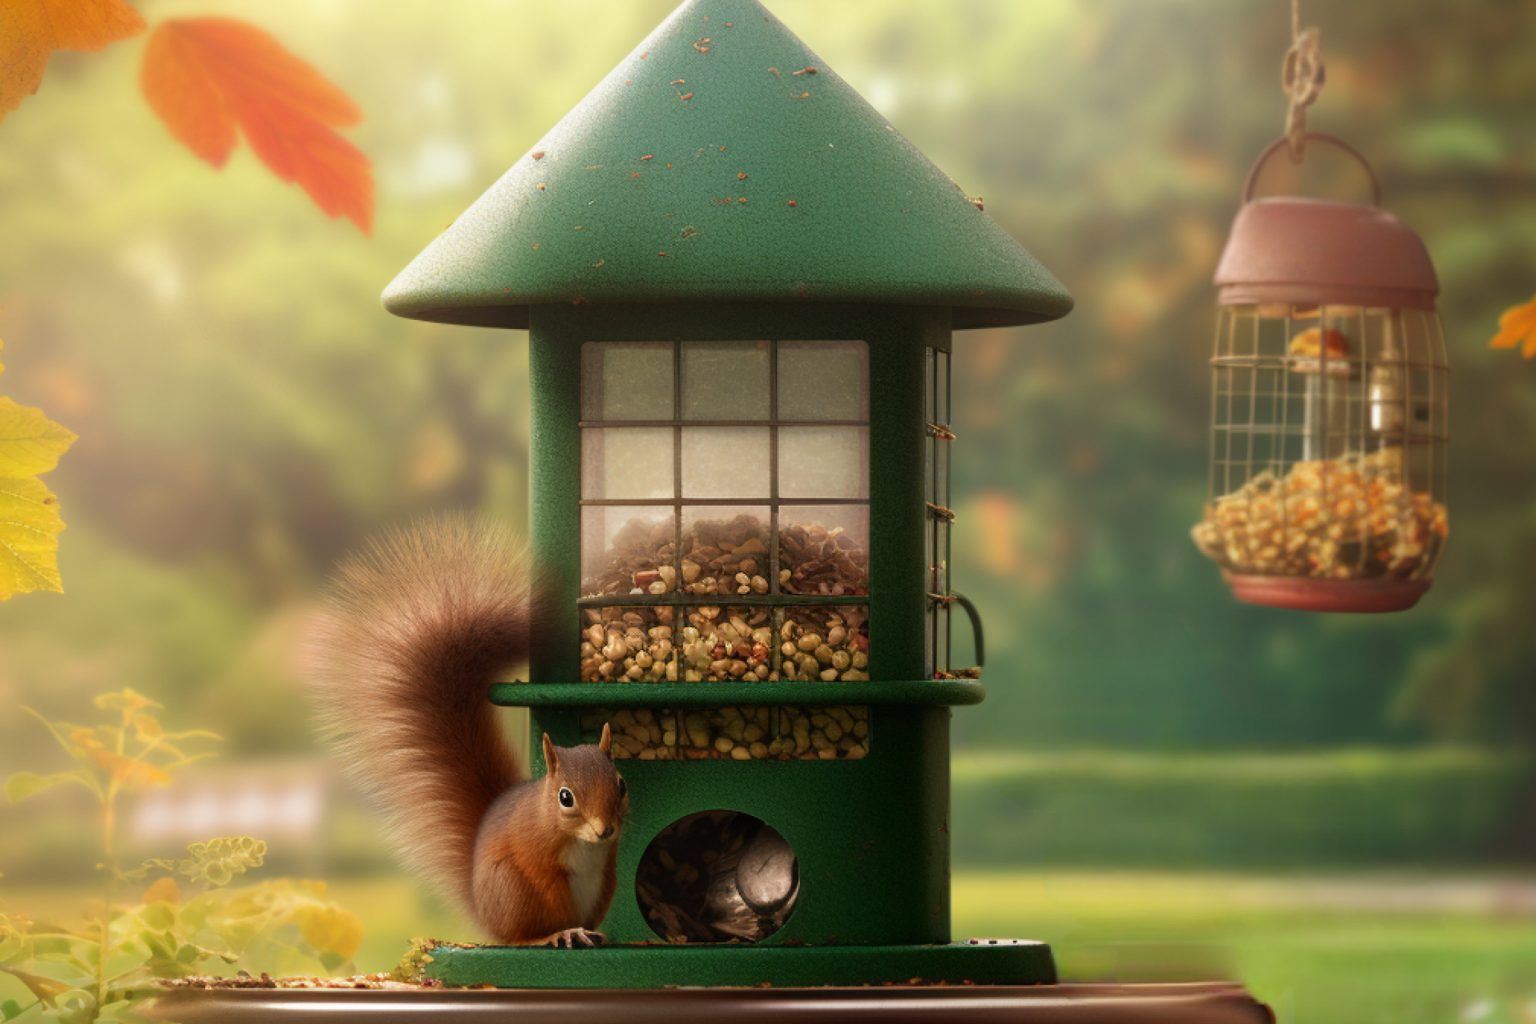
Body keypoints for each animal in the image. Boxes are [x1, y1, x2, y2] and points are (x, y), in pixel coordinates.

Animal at [304, 517, 628, 948]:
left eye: (621, 784)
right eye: (565, 798)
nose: (606, 830)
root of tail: (482, 908)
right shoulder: (533, 851)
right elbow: (546, 880)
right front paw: (565, 926)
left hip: (602, 887)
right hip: (512, 892)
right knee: (516, 937)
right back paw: (552, 934)